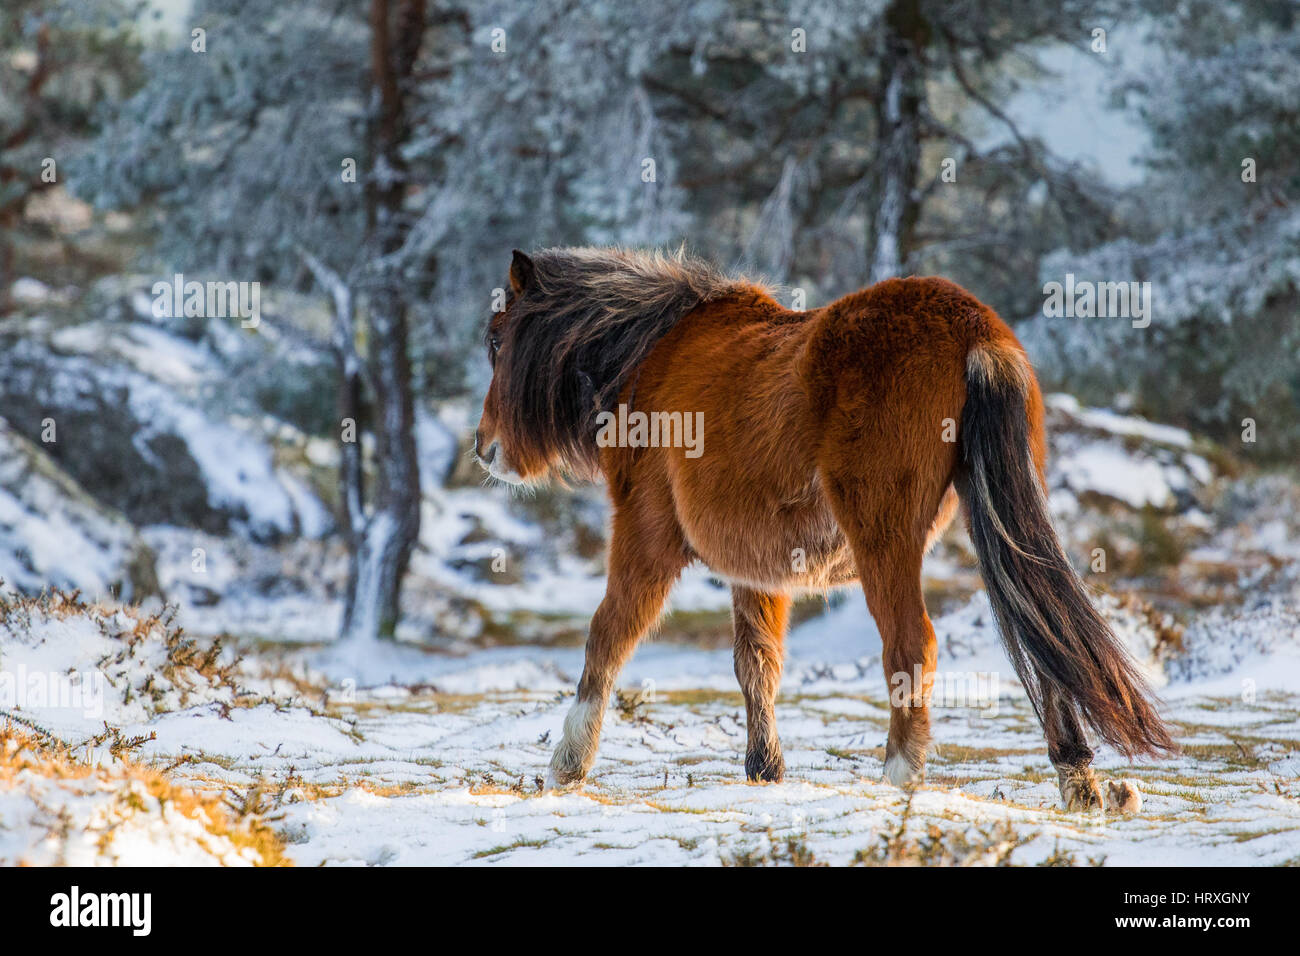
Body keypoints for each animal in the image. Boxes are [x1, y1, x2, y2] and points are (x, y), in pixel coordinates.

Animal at [475, 246, 1174, 810]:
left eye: (497, 340)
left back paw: (899, 779)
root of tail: (976, 331)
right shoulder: (755, 569)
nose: (483, 448)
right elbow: (757, 664)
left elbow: (608, 639)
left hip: (884, 538)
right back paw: (1080, 783)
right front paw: (765, 771)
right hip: (997, 521)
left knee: (913, 646)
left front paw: (566, 767)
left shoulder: (646, 536)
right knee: (1043, 632)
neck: (649, 357)